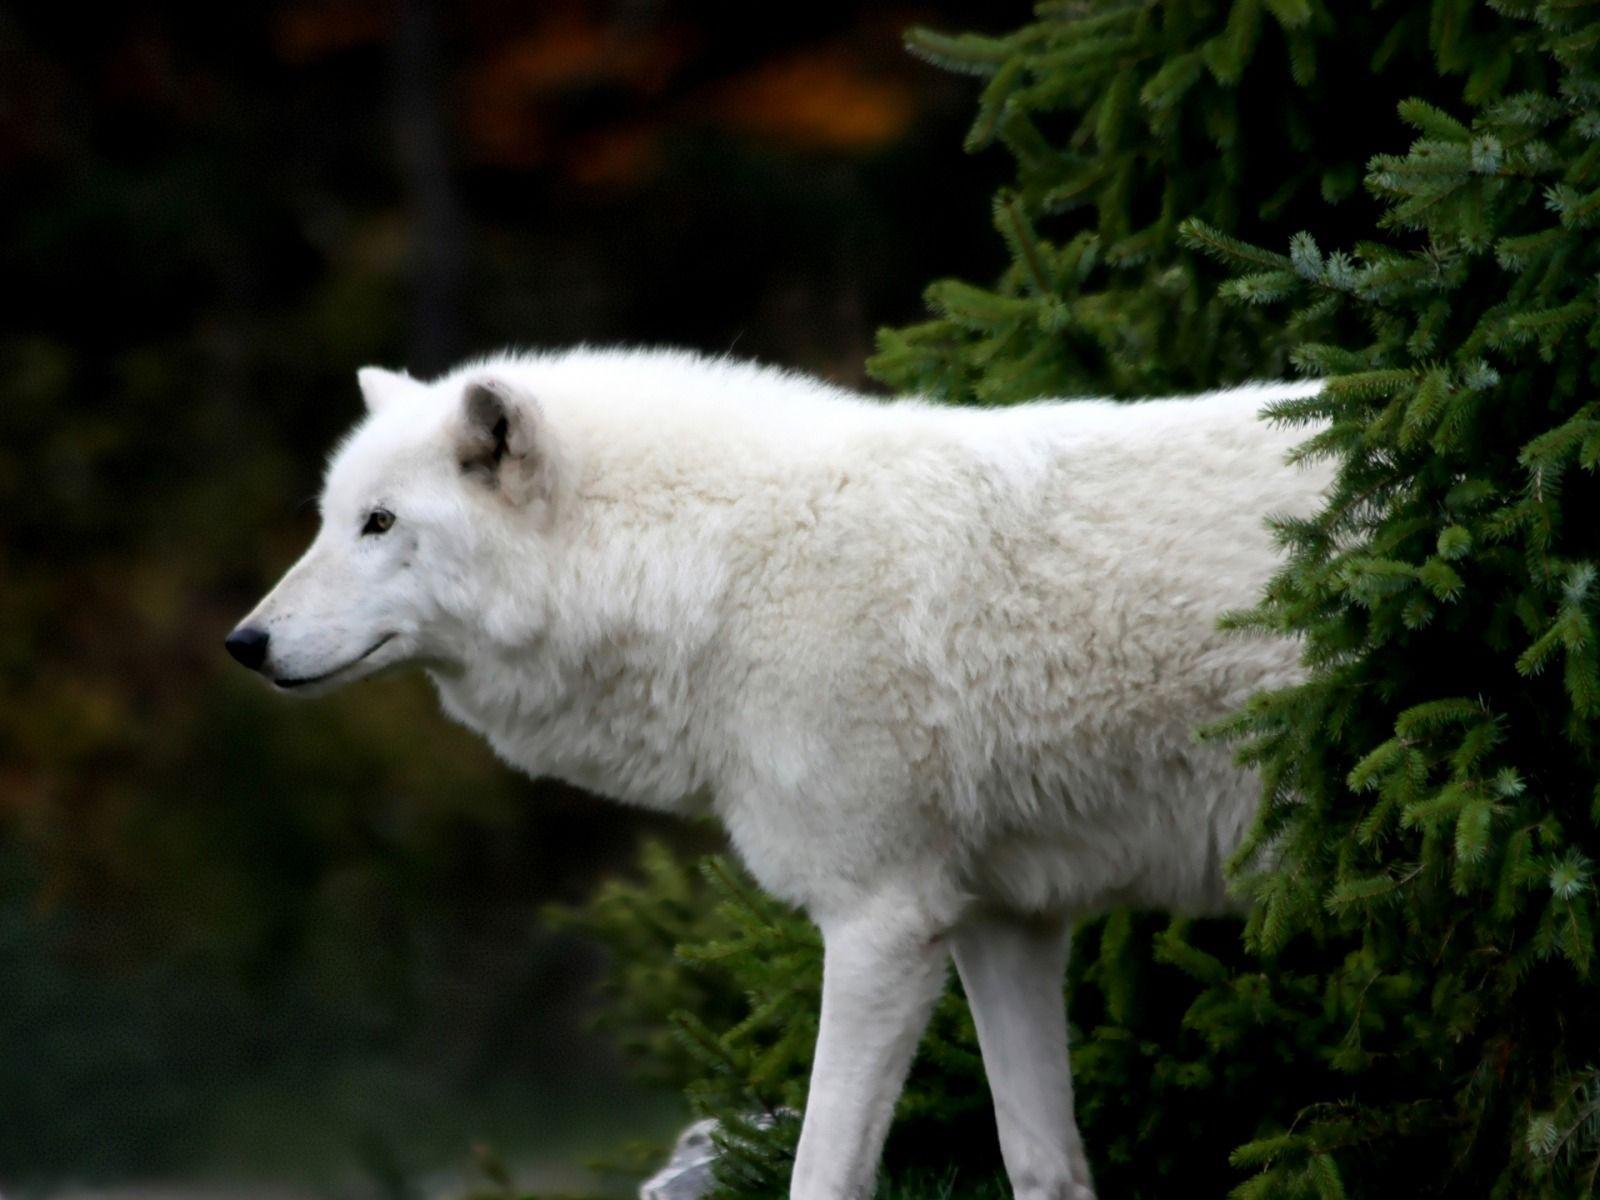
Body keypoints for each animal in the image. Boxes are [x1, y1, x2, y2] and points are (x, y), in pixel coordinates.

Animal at [226, 348, 1330, 1200]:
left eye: (378, 524)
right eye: (328, 519)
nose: (244, 642)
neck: (718, 569)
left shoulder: (881, 923)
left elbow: (822, 1172)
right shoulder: (1001, 921)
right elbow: (1039, 1161)